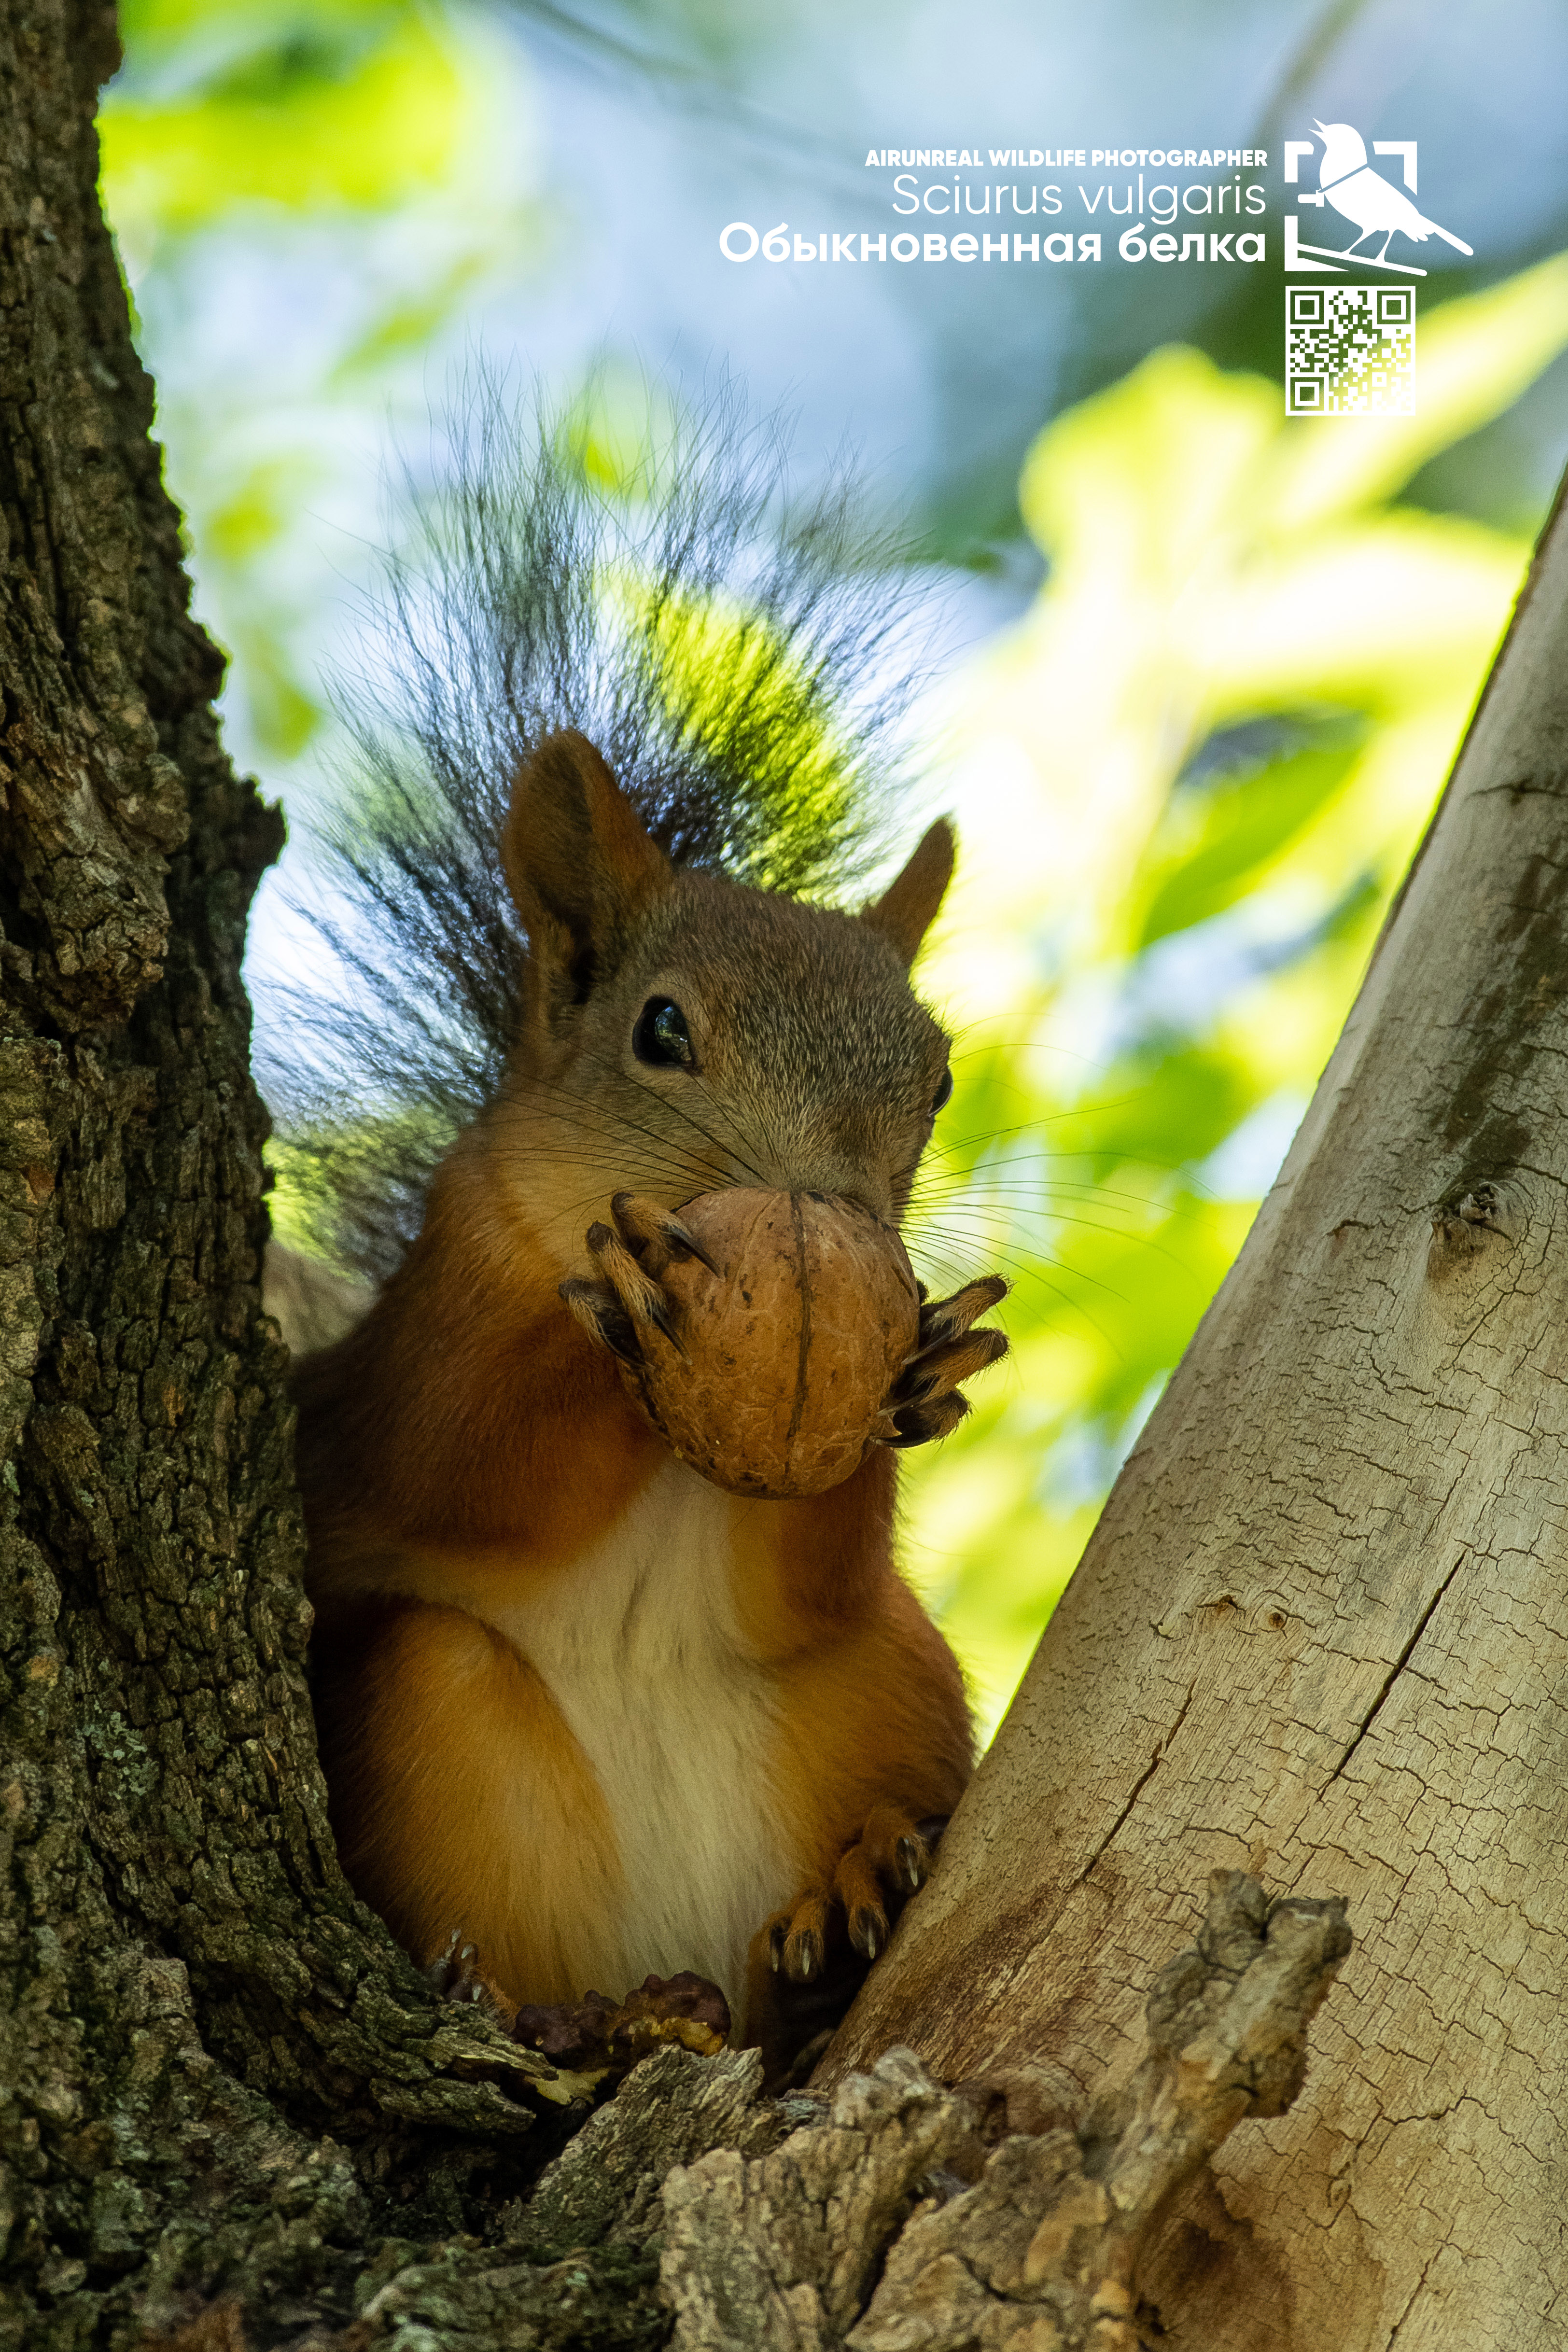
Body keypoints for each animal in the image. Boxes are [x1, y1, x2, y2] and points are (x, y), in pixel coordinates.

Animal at [268, 390, 1006, 2079]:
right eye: (659, 1032)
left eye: (935, 1077)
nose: (828, 1211)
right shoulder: (430, 1329)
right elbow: (467, 1459)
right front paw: (623, 1311)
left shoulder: (816, 1569)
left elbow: (808, 1570)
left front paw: (923, 1362)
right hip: (428, 1708)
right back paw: (571, 2010)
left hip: (887, 1681)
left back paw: (846, 1910)